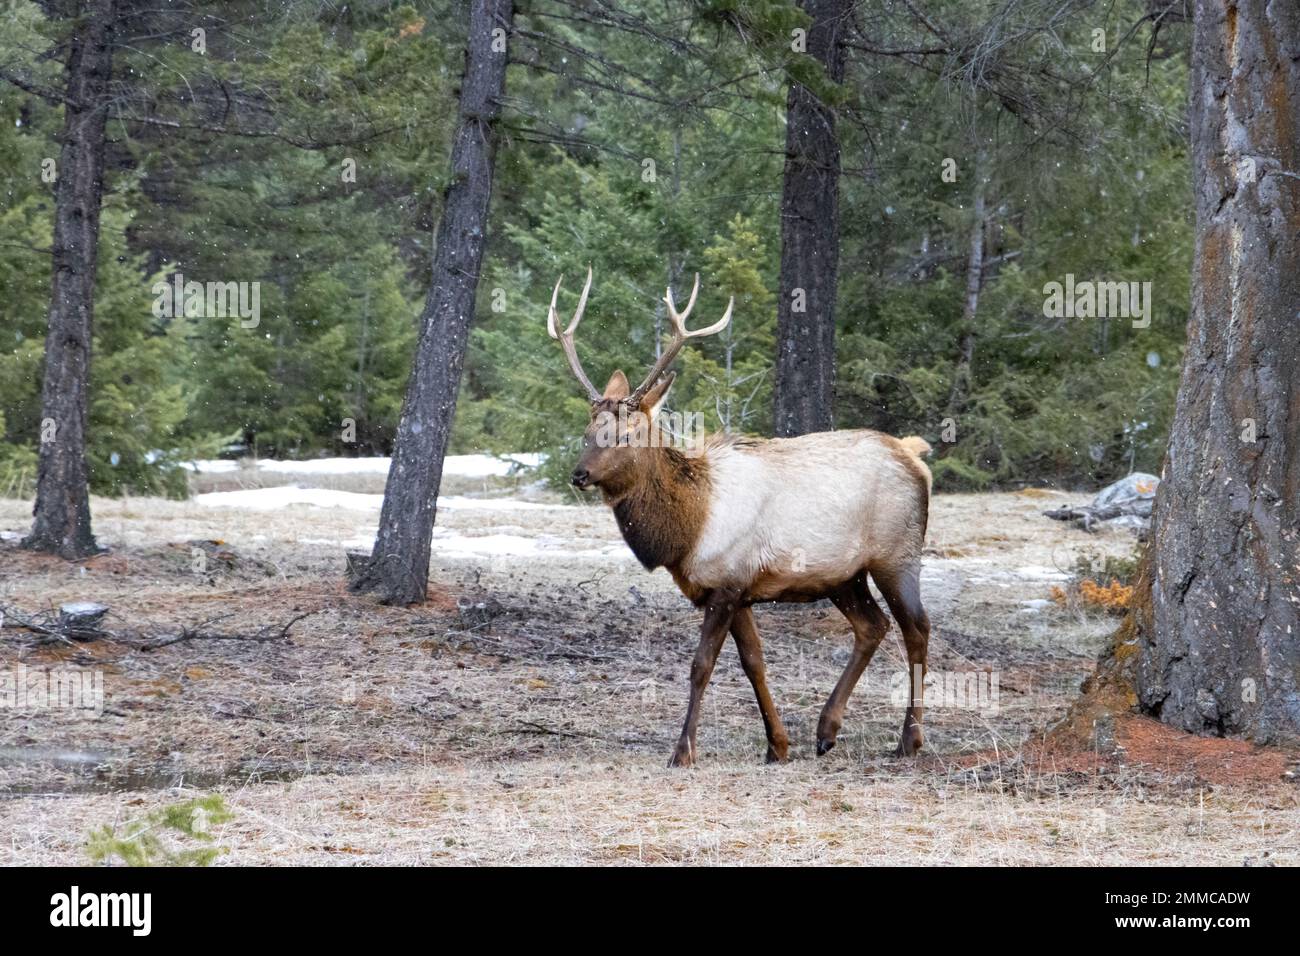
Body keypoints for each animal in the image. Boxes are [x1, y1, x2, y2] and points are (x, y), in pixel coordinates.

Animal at [548, 268, 933, 768]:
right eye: (587, 430)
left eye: (628, 434)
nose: (579, 474)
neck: (687, 529)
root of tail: (915, 455)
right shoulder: (739, 590)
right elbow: (754, 664)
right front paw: (778, 745)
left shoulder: (727, 583)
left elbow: (701, 666)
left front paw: (683, 752)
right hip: (843, 575)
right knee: (873, 626)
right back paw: (826, 731)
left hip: (897, 554)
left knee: (917, 629)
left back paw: (909, 740)